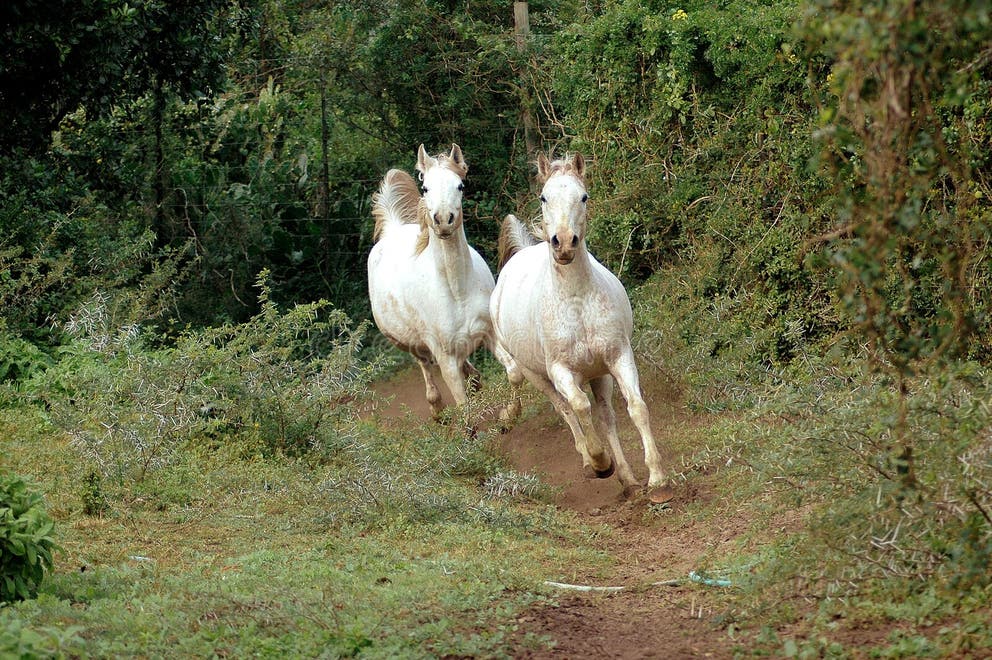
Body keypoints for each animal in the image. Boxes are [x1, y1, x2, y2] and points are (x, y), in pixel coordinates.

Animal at [368, 144, 497, 418]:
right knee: (425, 364)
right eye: (425, 188)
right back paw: (436, 406)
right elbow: (464, 407)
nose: (443, 219)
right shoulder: (444, 358)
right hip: (408, 342)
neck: (457, 289)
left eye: (460, 185)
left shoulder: (491, 334)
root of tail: (393, 229)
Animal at [489, 151, 668, 495]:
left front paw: (657, 478)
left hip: (599, 374)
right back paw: (589, 460)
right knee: (566, 410)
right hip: (535, 374)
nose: (563, 244)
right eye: (544, 197)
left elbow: (635, 407)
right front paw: (600, 462)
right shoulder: (561, 371)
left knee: (606, 416)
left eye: (583, 196)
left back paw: (627, 479)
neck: (576, 301)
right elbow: (579, 407)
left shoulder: (618, 357)